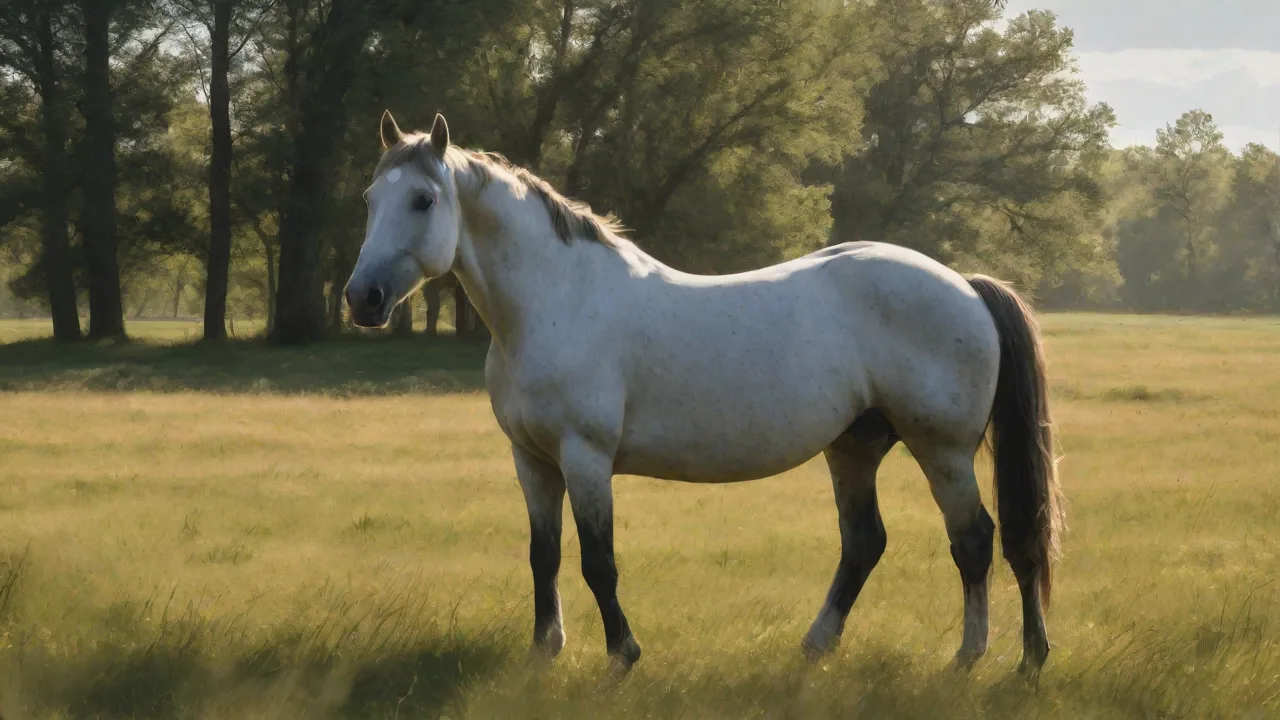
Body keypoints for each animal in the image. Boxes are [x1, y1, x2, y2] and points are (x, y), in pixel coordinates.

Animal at [344, 111, 1065, 682]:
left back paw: (990, 659)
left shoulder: (585, 458)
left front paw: (623, 655)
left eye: (422, 200)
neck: (556, 301)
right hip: (854, 447)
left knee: (979, 540)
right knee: (866, 542)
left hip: (942, 450)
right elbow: (542, 556)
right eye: (371, 198)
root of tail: (965, 284)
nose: (362, 298)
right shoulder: (532, 460)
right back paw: (820, 647)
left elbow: (598, 561)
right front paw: (544, 651)